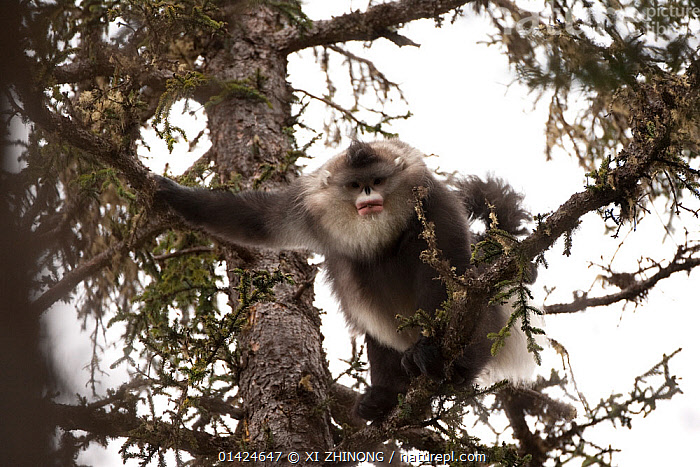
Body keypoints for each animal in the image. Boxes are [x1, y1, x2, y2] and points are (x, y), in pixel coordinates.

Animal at [153, 140, 535, 421]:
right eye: (354, 184)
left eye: (377, 181)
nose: (367, 195)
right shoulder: (306, 210)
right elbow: (256, 221)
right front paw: (175, 194)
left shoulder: (434, 203)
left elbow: (453, 276)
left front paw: (429, 347)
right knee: (361, 286)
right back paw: (386, 396)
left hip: (488, 327)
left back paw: (453, 366)